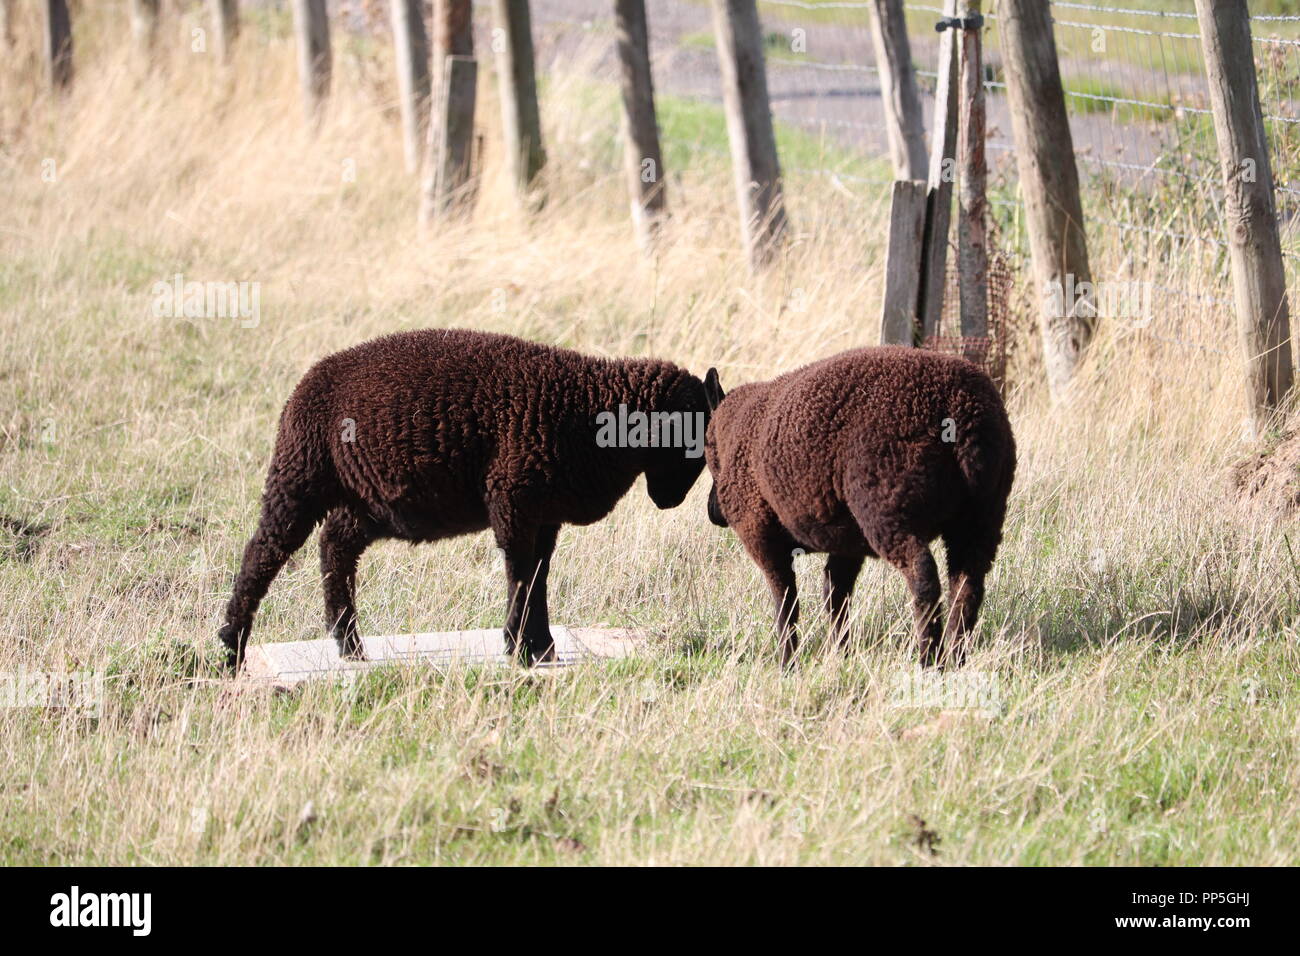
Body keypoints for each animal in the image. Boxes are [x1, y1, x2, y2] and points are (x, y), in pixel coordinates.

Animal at [218, 328, 711, 669]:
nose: (670, 502)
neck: (589, 410)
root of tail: (305, 384)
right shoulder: (514, 501)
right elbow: (520, 574)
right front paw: (522, 650)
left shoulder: (543, 514)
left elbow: (538, 575)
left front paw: (540, 648)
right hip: (300, 475)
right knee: (264, 551)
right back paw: (232, 644)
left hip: (366, 500)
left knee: (335, 549)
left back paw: (349, 645)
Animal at [701, 346, 1016, 666]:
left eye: (706, 449)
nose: (714, 512)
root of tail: (961, 414)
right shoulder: (848, 543)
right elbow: (835, 594)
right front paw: (842, 655)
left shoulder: (759, 532)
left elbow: (786, 602)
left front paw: (788, 663)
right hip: (982, 515)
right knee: (967, 587)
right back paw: (956, 658)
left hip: (887, 507)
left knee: (923, 577)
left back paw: (929, 660)